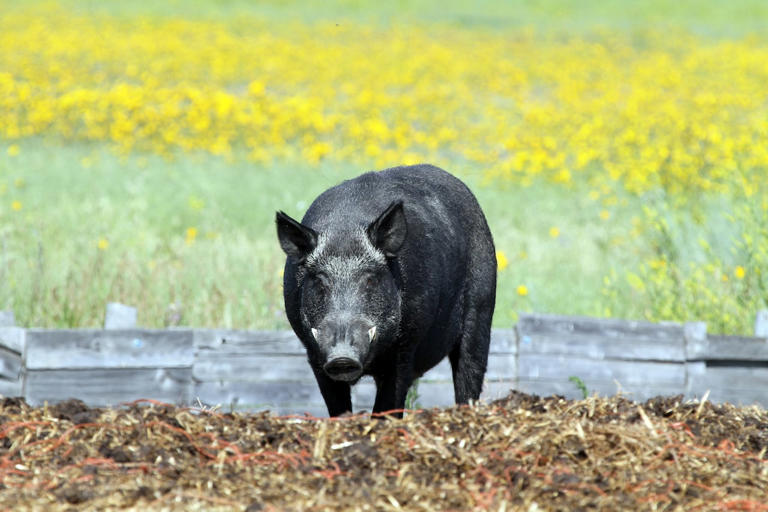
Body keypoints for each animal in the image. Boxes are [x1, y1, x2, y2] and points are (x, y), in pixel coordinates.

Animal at [276, 164, 496, 417]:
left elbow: (388, 405)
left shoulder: (406, 346)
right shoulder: (313, 352)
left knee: (469, 373)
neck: (345, 231)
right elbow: (338, 408)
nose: (342, 357)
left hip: (482, 308)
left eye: (370, 279)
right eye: (320, 281)